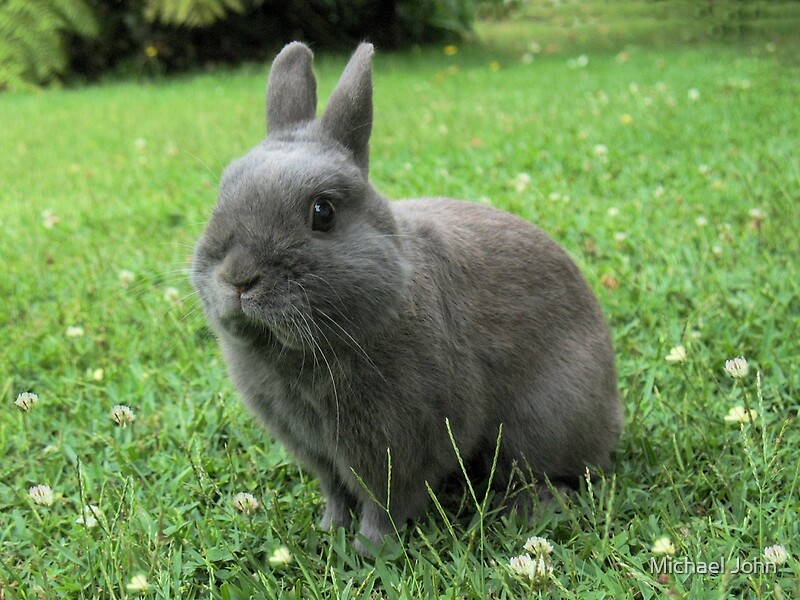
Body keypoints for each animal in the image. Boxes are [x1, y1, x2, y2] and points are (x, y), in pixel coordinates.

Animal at [191, 41, 623, 555]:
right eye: (222, 193)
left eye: (323, 212)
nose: (238, 278)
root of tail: (612, 410)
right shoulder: (319, 453)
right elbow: (335, 492)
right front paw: (330, 531)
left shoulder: (399, 449)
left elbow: (387, 503)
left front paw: (369, 551)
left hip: (540, 425)